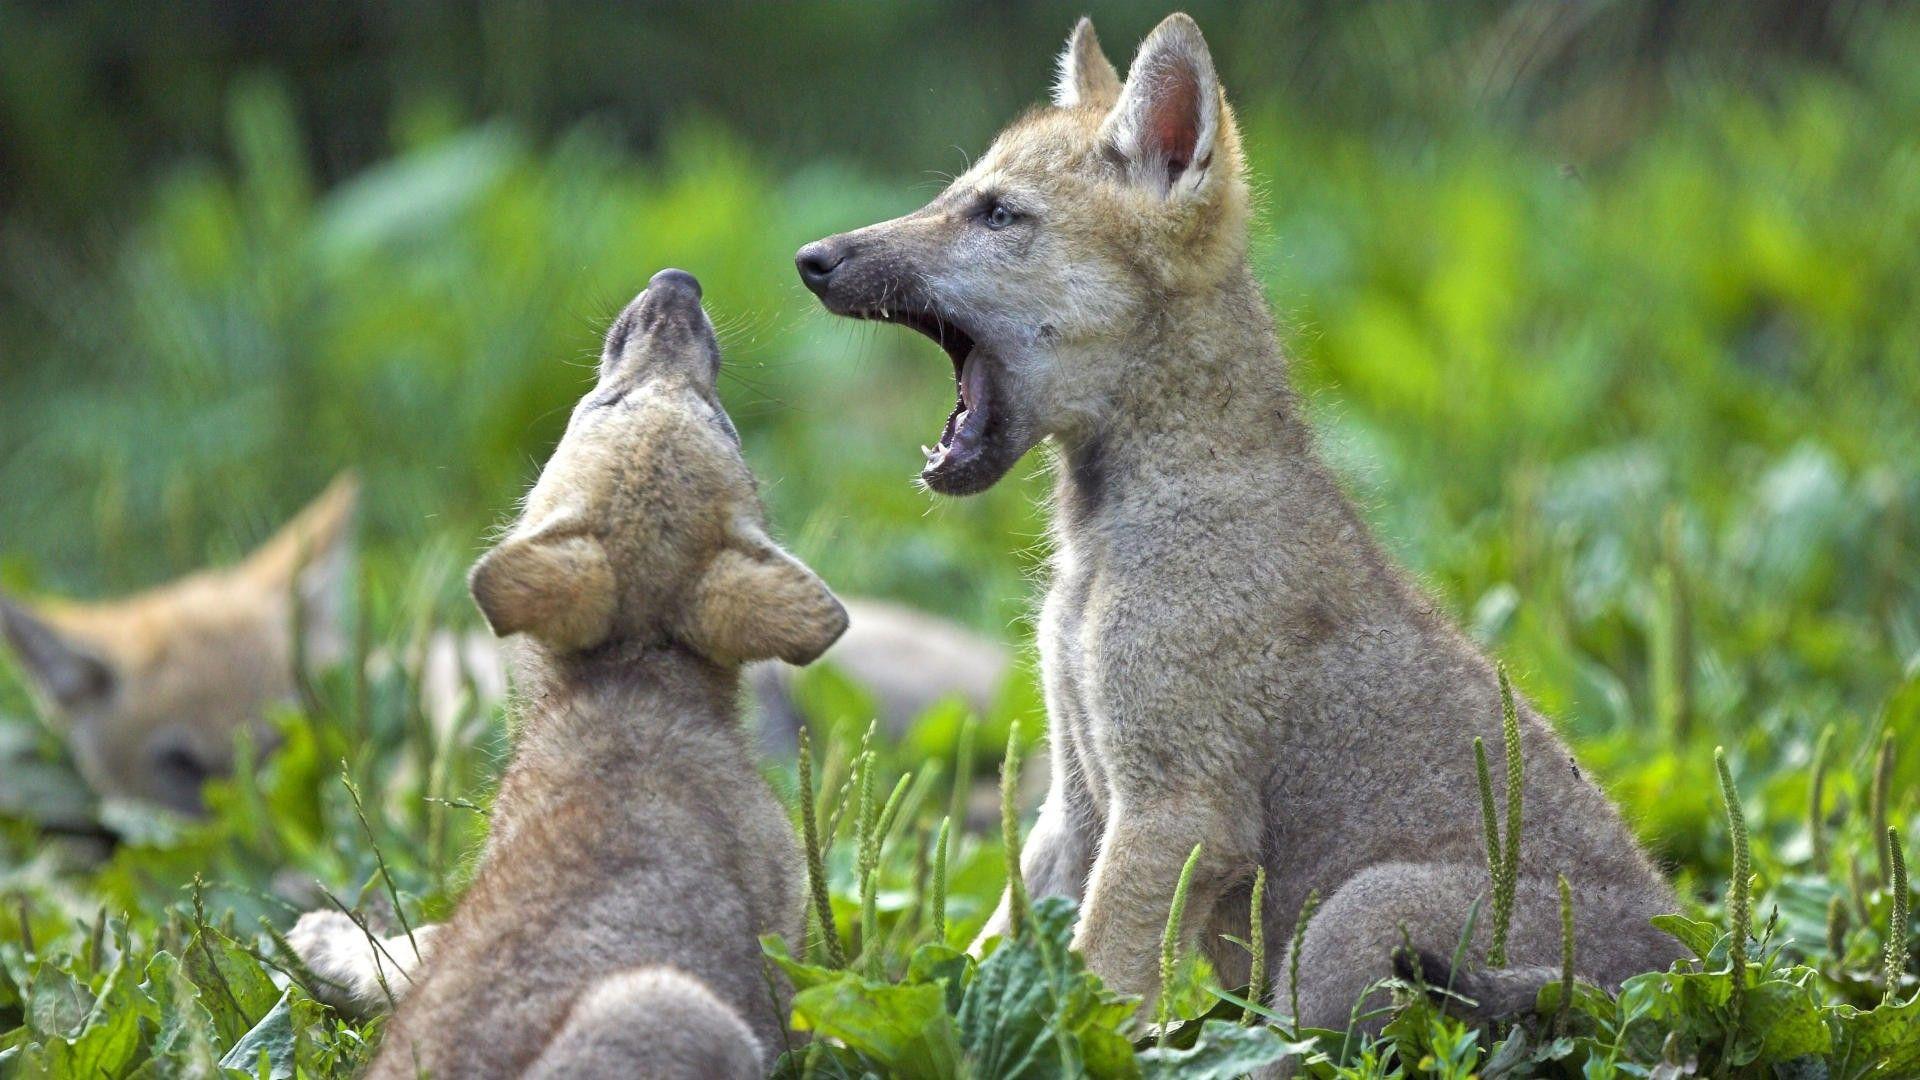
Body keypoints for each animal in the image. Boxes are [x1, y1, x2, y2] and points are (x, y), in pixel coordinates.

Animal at [329, 269, 842, 1079]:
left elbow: (408, 950)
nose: (678, 284)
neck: (638, 671)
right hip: (676, 1005)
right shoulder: (789, 946)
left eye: (716, 418)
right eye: (608, 402)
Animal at [796, 13, 1681, 1038]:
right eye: (955, 196)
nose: (811, 259)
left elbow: (1093, 987)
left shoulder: (1176, 809)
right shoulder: (1077, 802)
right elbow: (993, 952)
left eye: (998, 214)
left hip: (1351, 924)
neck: (1105, 543)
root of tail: (1675, 974)